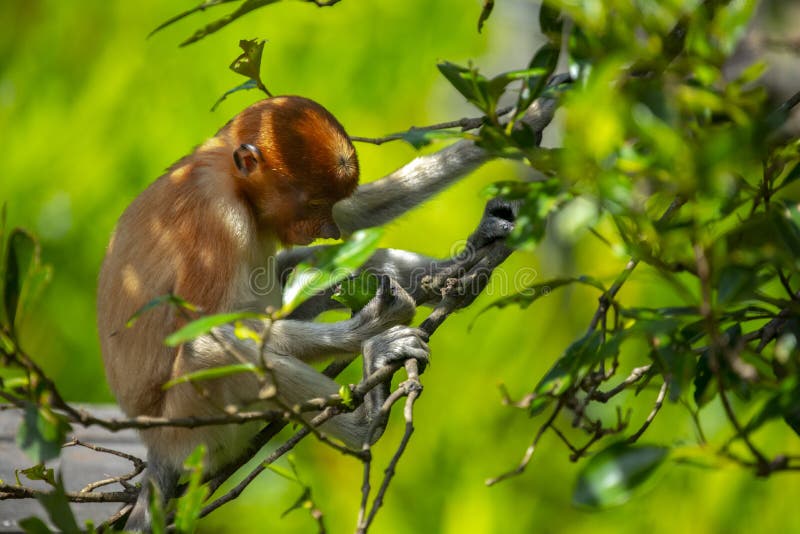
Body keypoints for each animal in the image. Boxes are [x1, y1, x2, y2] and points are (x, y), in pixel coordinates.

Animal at [97, 93, 556, 530]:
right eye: (311, 201)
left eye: (328, 201)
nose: (328, 231)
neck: (230, 178)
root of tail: (156, 447)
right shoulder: (212, 218)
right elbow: (197, 331)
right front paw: (370, 329)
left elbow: (357, 213)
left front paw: (526, 118)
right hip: (190, 424)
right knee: (208, 351)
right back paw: (366, 418)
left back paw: (455, 273)